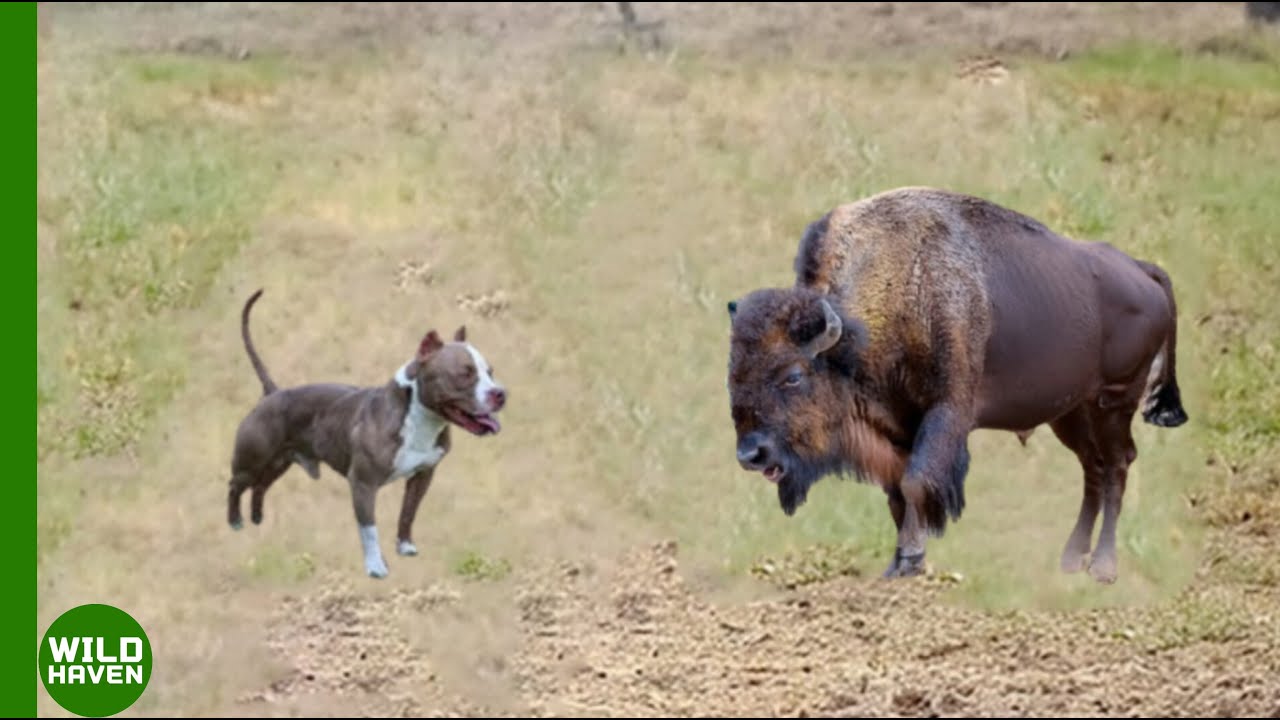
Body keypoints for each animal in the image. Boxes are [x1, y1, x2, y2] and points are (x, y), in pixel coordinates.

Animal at [726, 187, 1188, 583]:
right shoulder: (897, 425)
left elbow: (916, 482)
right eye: (732, 373)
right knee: (1093, 467)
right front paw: (901, 562)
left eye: (793, 375)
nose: (751, 454)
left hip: (1116, 400)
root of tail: (1142, 270)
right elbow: (897, 493)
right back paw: (1071, 559)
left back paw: (1104, 567)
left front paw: (910, 559)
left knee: (1117, 464)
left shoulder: (947, 412)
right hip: (1071, 412)